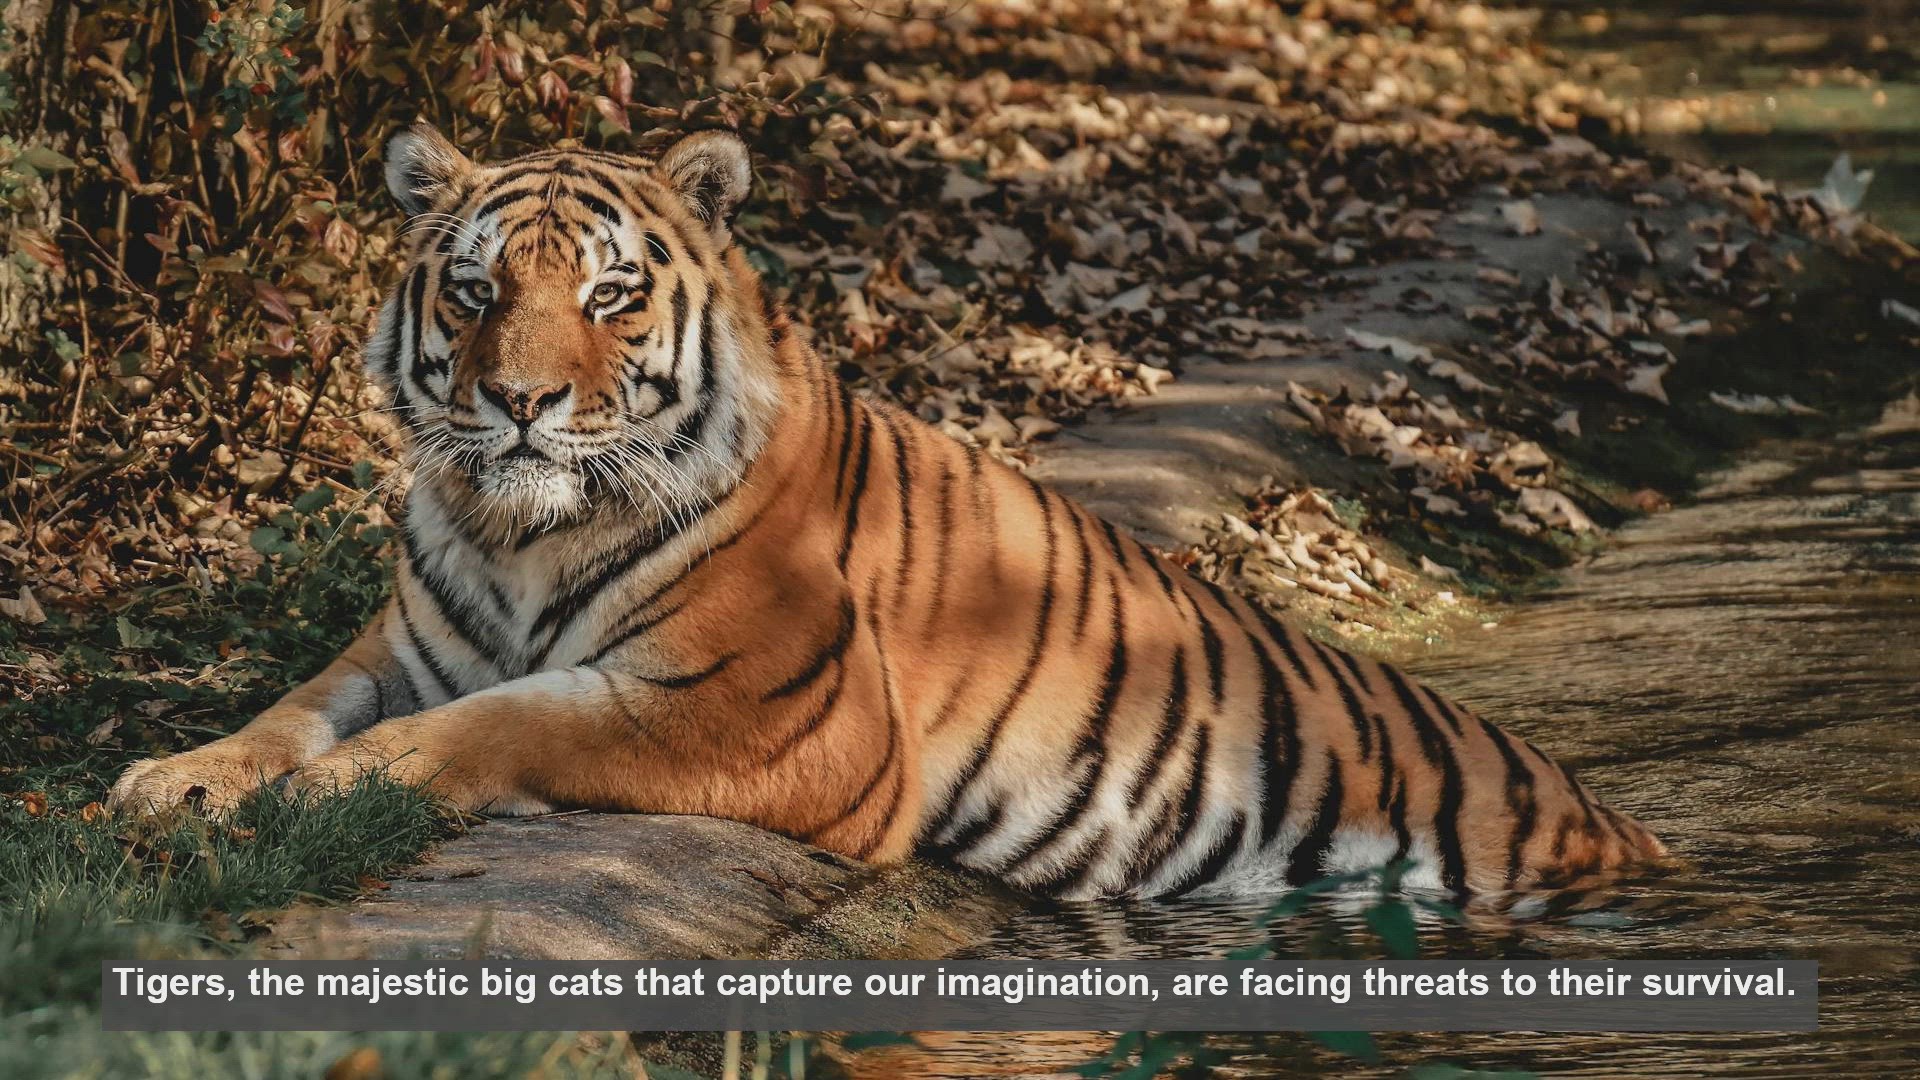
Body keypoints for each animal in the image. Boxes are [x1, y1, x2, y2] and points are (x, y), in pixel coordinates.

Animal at [108, 125, 1666, 899]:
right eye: (479, 289)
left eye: (610, 294)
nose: (521, 403)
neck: (521, 532)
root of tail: (1620, 825)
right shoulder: (400, 651)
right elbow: (294, 707)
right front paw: (180, 779)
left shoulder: (772, 710)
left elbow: (511, 723)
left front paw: (324, 796)